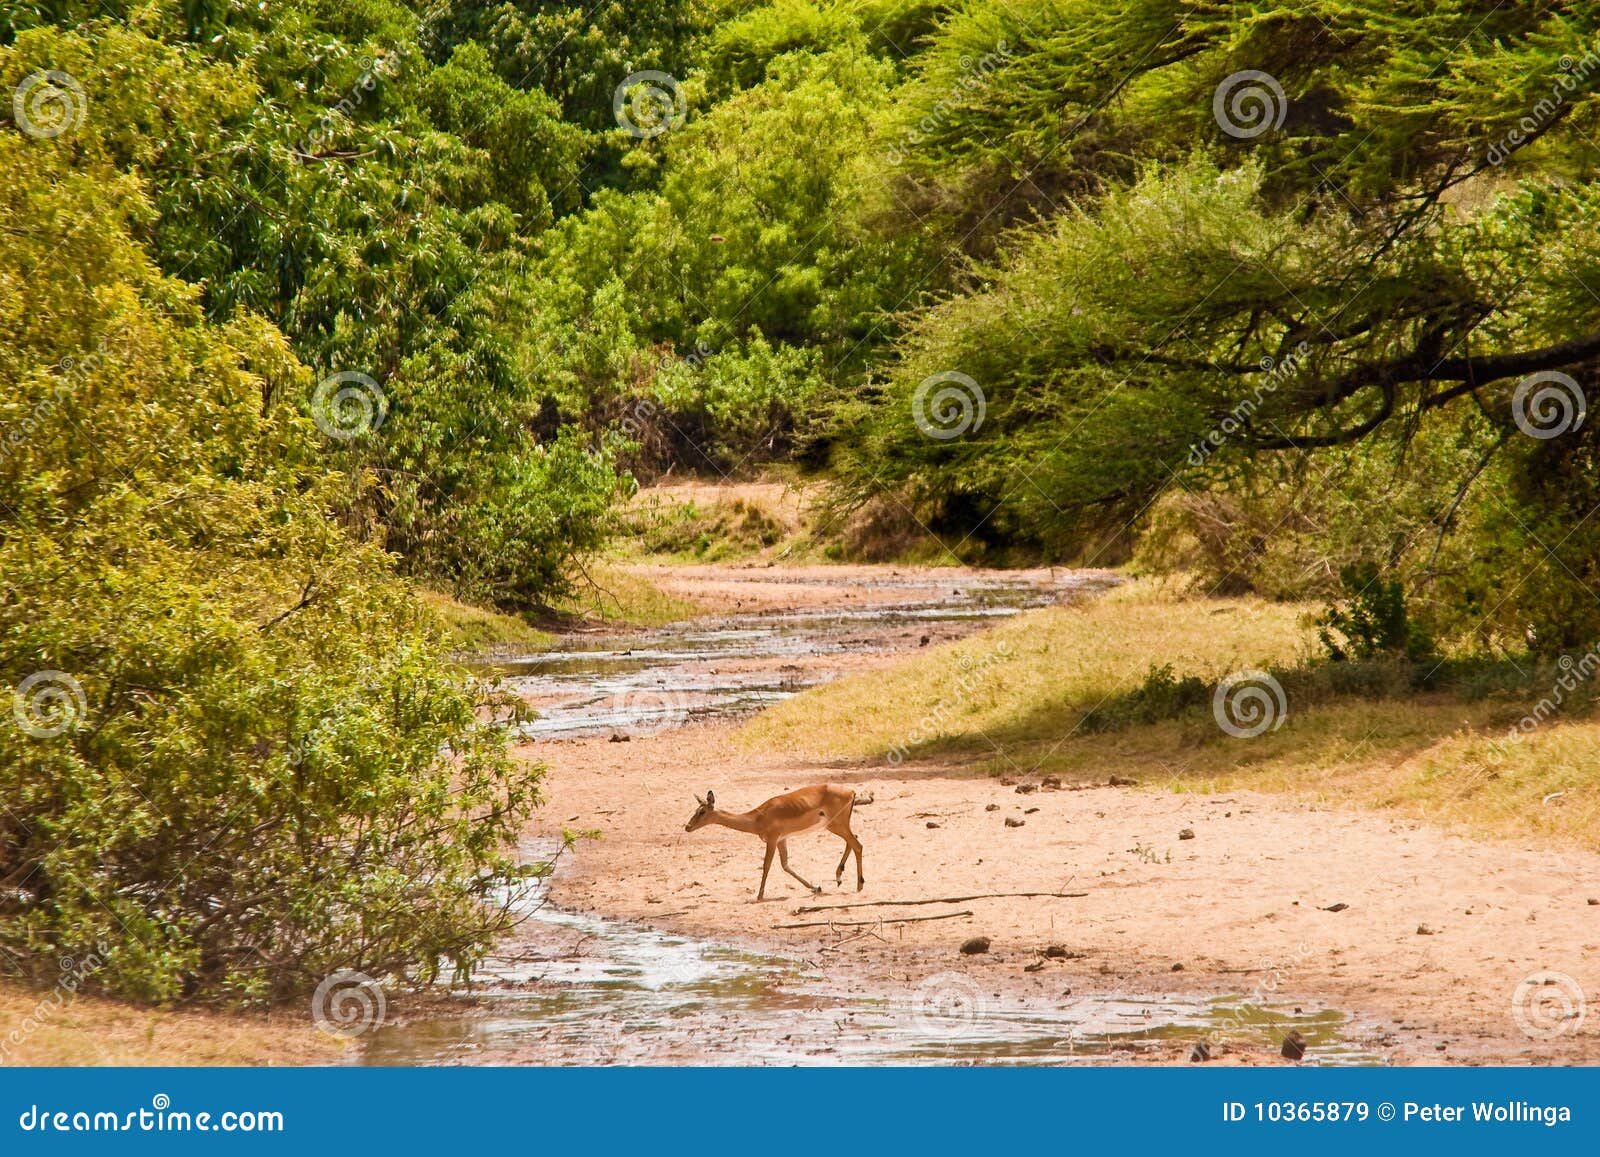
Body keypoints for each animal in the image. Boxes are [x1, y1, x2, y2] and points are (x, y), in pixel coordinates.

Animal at [684, 785, 870, 901]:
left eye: (702, 811)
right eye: (696, 810)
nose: (687, 827)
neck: (756, 819)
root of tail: (851, 791)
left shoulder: (772, 840)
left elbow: (766, 865)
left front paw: (759, 896)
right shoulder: (782, 839)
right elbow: (785, 865)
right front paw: (816, 887)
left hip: (835, 825)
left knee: (857, 845)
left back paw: (859, 885)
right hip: (838, 825)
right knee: (854, 840)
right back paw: (839, 878)